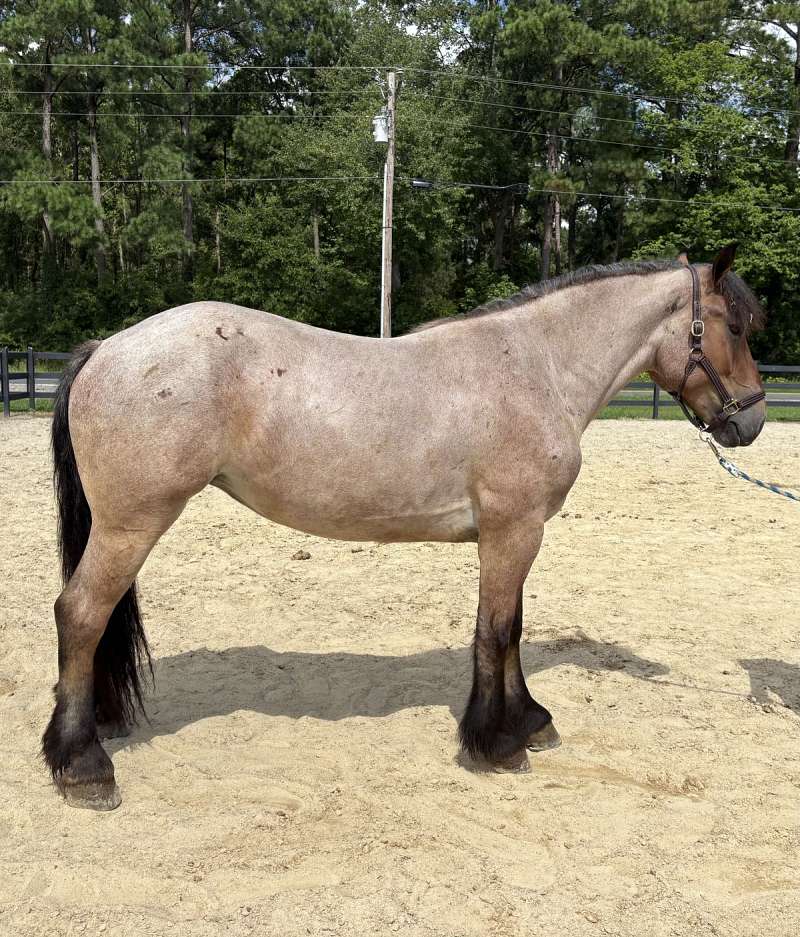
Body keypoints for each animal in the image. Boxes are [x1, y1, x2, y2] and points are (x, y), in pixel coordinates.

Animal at [42, 243, 766, 810]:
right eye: (732, 325)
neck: (536, 366)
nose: (753, 419)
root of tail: (107, 348)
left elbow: (511, 631)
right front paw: (496, 743)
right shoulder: (512, 530)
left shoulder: (518, 533)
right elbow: (496, 632)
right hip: (132, 524)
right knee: (80, 613)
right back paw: (82, 766)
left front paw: (530, 722)